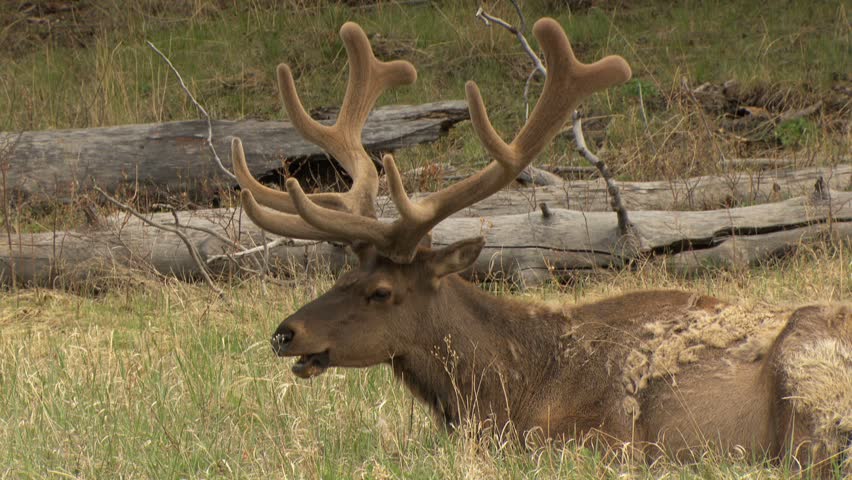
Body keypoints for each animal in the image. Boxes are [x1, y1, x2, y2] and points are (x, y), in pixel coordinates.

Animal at [231, 18, 852, 472]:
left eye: (381, 291)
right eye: (342, 277)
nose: (285, 332)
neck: (514, 389)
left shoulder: (605, 438)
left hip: (808, 388)